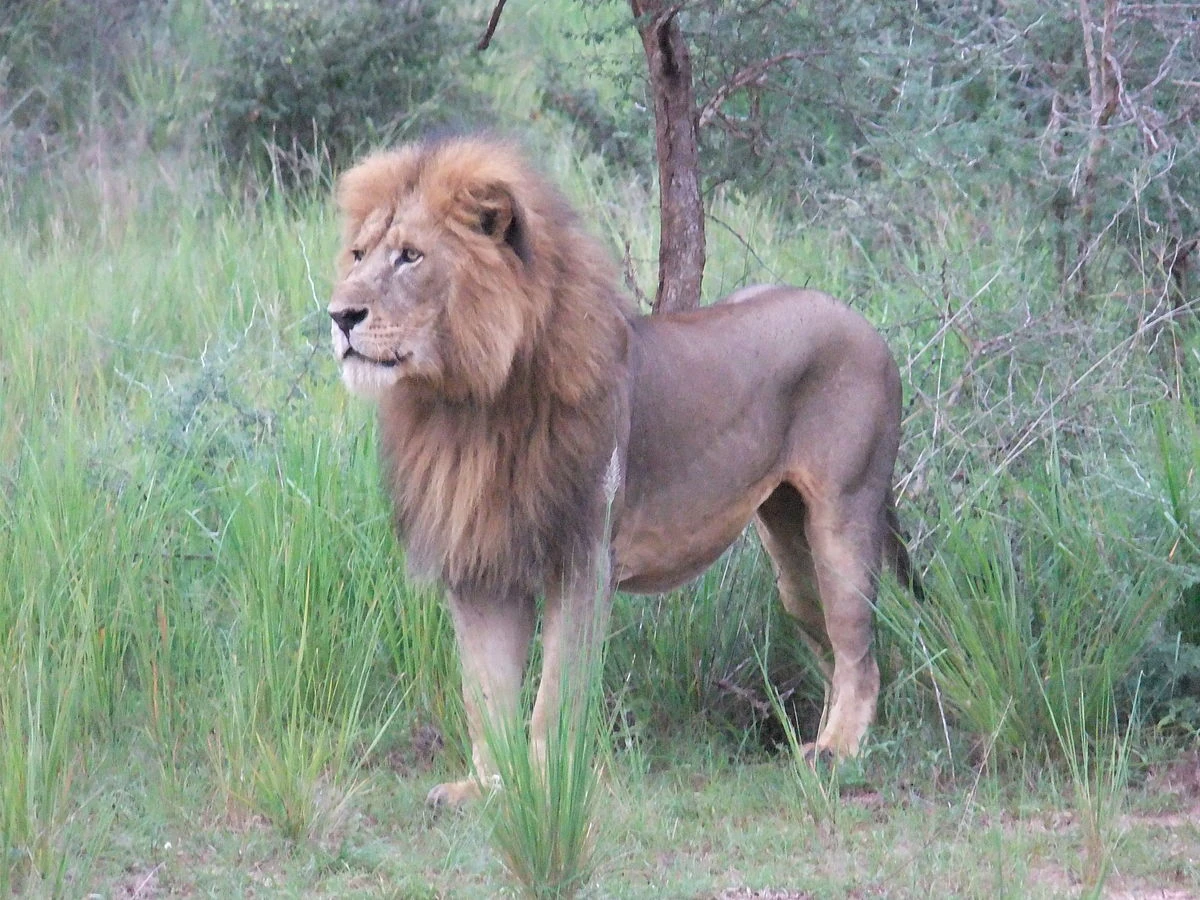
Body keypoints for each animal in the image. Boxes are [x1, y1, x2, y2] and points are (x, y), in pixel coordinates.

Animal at [327, 135, 918, 807]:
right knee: (828, 643)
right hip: (790, 550)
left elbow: (554, 697)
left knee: (861, 651)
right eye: (357, 254)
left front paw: (547, 789)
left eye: (410, 256)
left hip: (846, 514)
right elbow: (486, 697)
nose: (339, 315)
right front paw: (486, 787)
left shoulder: (584, 559)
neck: (466, 402)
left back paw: (836, 753)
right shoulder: (481, 567)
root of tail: (862, 322)